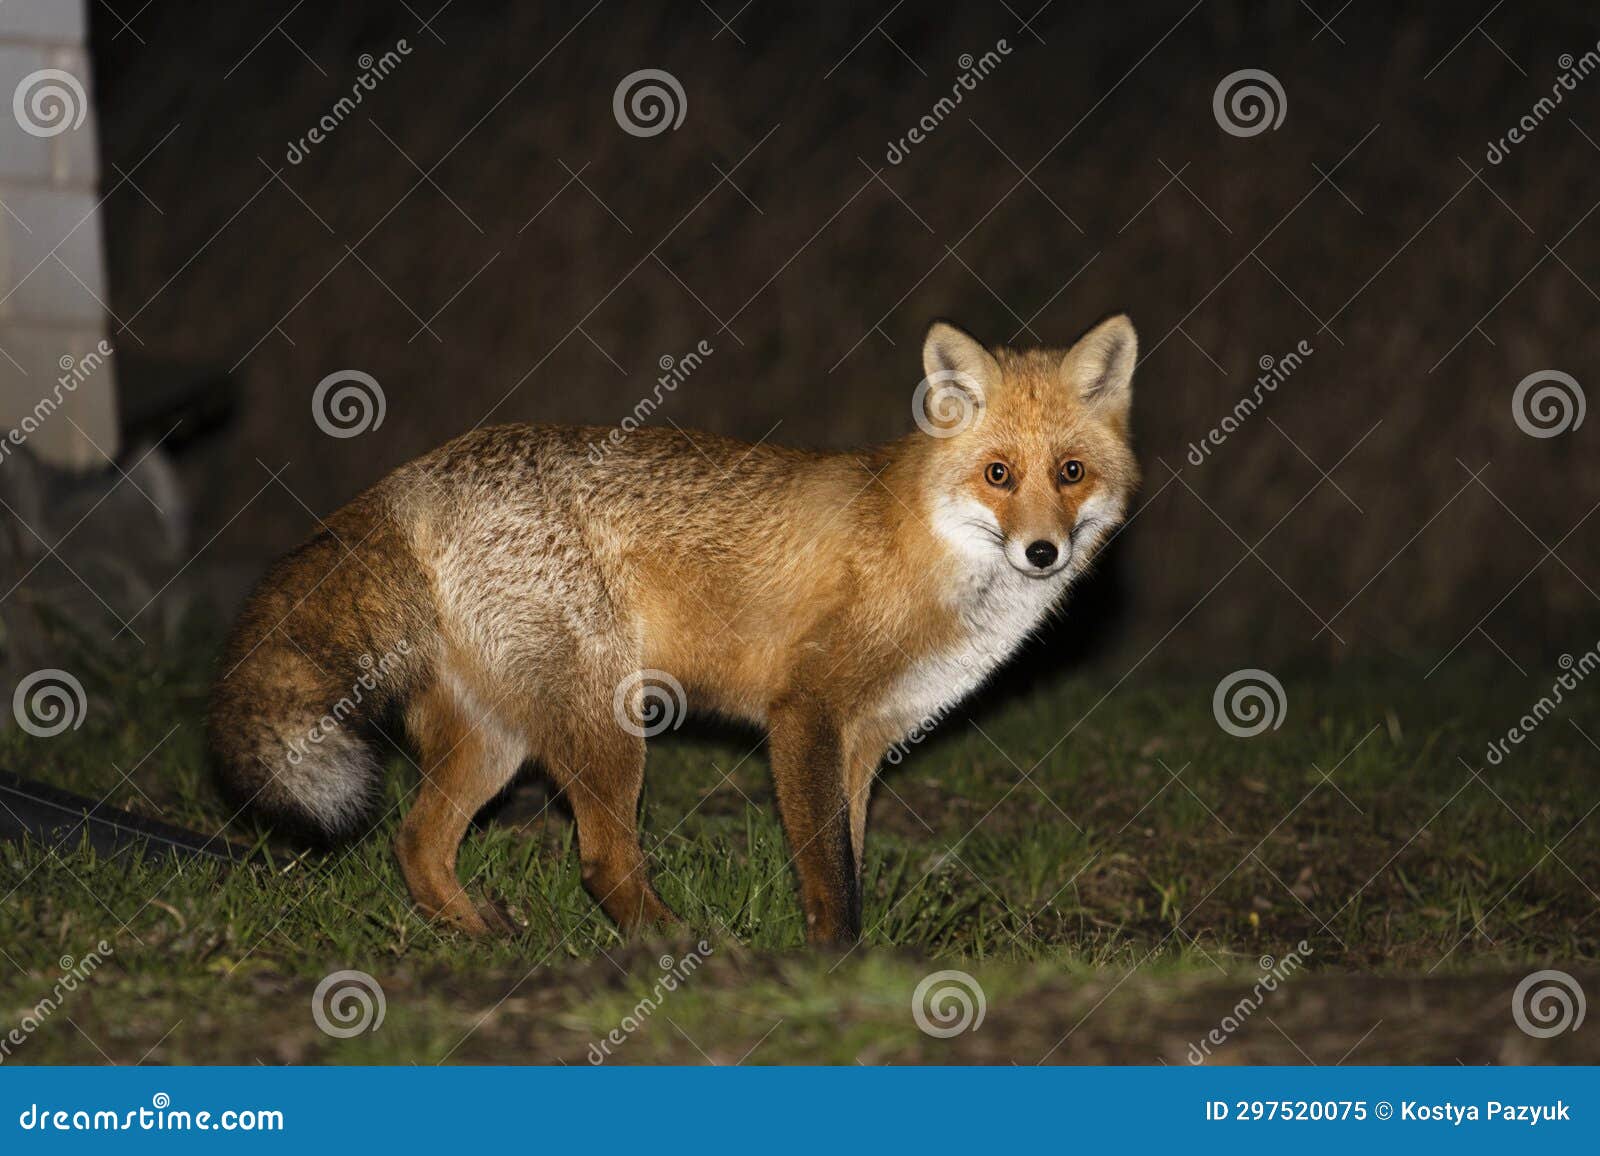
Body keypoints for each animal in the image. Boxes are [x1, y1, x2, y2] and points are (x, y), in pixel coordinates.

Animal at [207, 315, 1140, 945]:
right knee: (600, 860)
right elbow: (830, 876)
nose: (1044, 551)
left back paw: (476, 940)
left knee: (416, 844)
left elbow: (851, 860)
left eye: (1070, 473)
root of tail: (413, 476)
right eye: (998, 475)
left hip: (499, 739)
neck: (930, 555)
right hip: (607, 725)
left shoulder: (867, 741)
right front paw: (833, 964)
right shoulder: (805, 716)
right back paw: (672, 948)